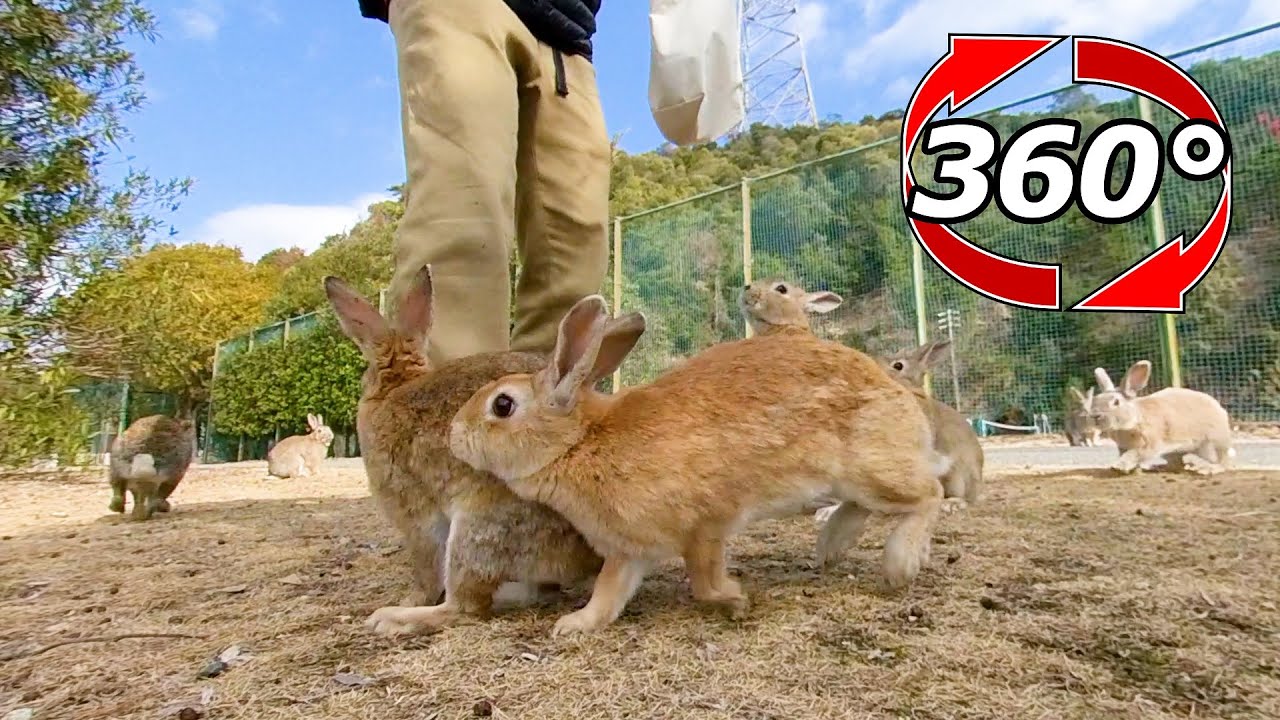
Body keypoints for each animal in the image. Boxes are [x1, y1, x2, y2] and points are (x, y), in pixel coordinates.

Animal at [323, 266, 603, 637]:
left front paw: (411, 599)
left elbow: (426, 565)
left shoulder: (412, 512)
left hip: (477, 527)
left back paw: (393, 618)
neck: (395, 388)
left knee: (466, 607)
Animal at [448, 294, 948, 637]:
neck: (580, 442)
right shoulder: (628, 550)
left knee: (930, 494)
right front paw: (575, 625)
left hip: (871, 468)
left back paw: (899, 564)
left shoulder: (707, 524)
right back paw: (833, 546)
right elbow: (608, 594)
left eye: (503, 405)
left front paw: (734, 598)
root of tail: (896, 394)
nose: (453, 436)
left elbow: (703, 579)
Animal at [1090, 360, 1235, 475]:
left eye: (1116, 402)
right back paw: (1159, 467)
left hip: (1212, 444)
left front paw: (1118, 466)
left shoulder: (1150, 443)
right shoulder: (1122, 447)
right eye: (1095, 400)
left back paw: (1206, 469)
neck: (1135, 418)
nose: (1095, 416)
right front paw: (1130, 470)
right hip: (1173, 453)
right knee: (1178, 463)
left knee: (1223, 463)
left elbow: (1135, 454)